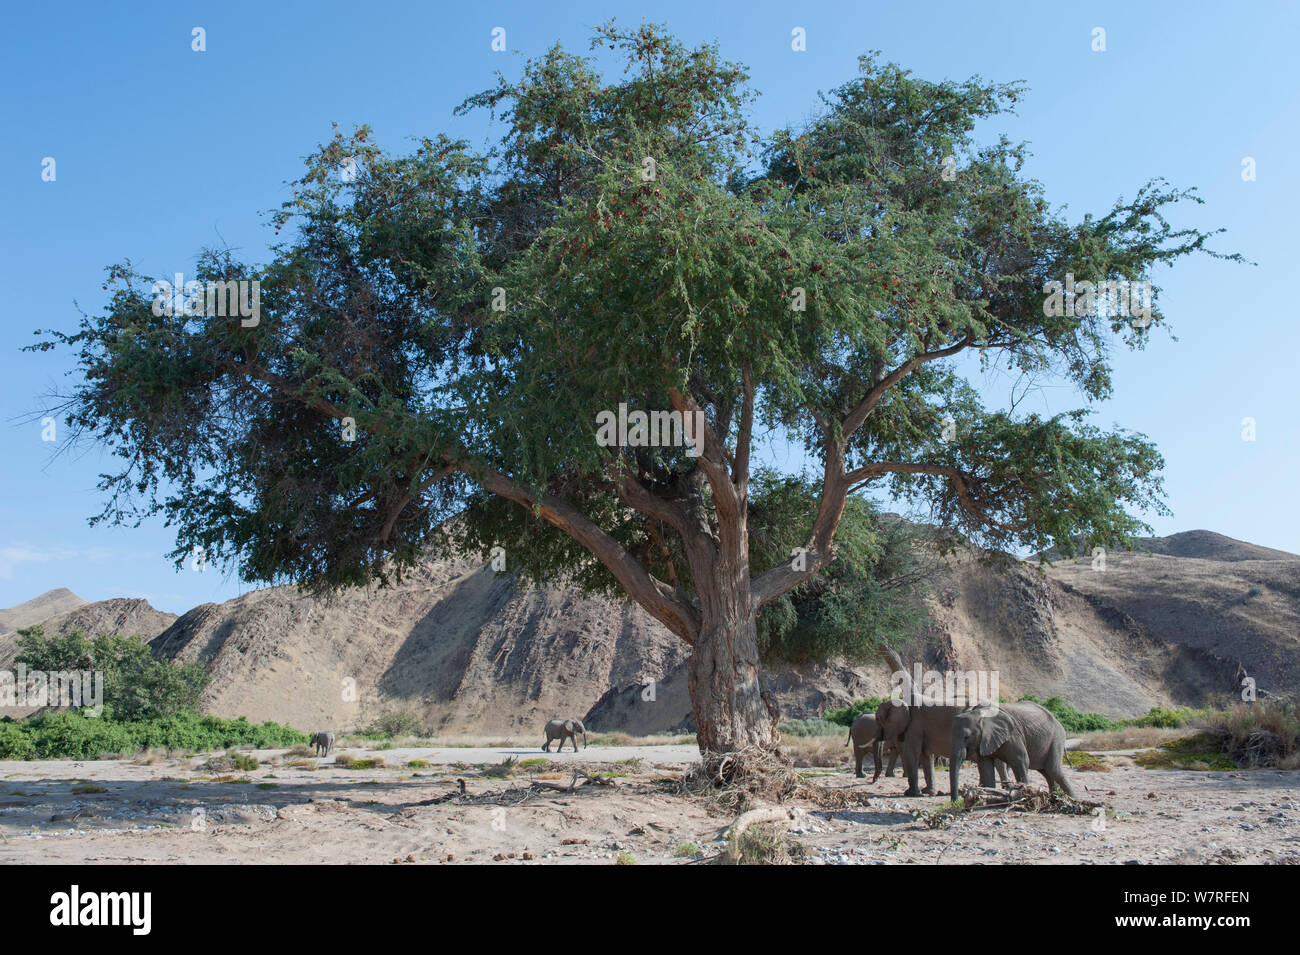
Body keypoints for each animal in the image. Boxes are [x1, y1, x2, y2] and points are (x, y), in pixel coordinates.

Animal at [873, 698, 1011, 797]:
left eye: (878, 719)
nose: (874, 781)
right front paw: (928, 792)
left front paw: (911, 794)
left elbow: (912, 753)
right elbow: (925, 755)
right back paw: (985, 788)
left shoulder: (915, 725)